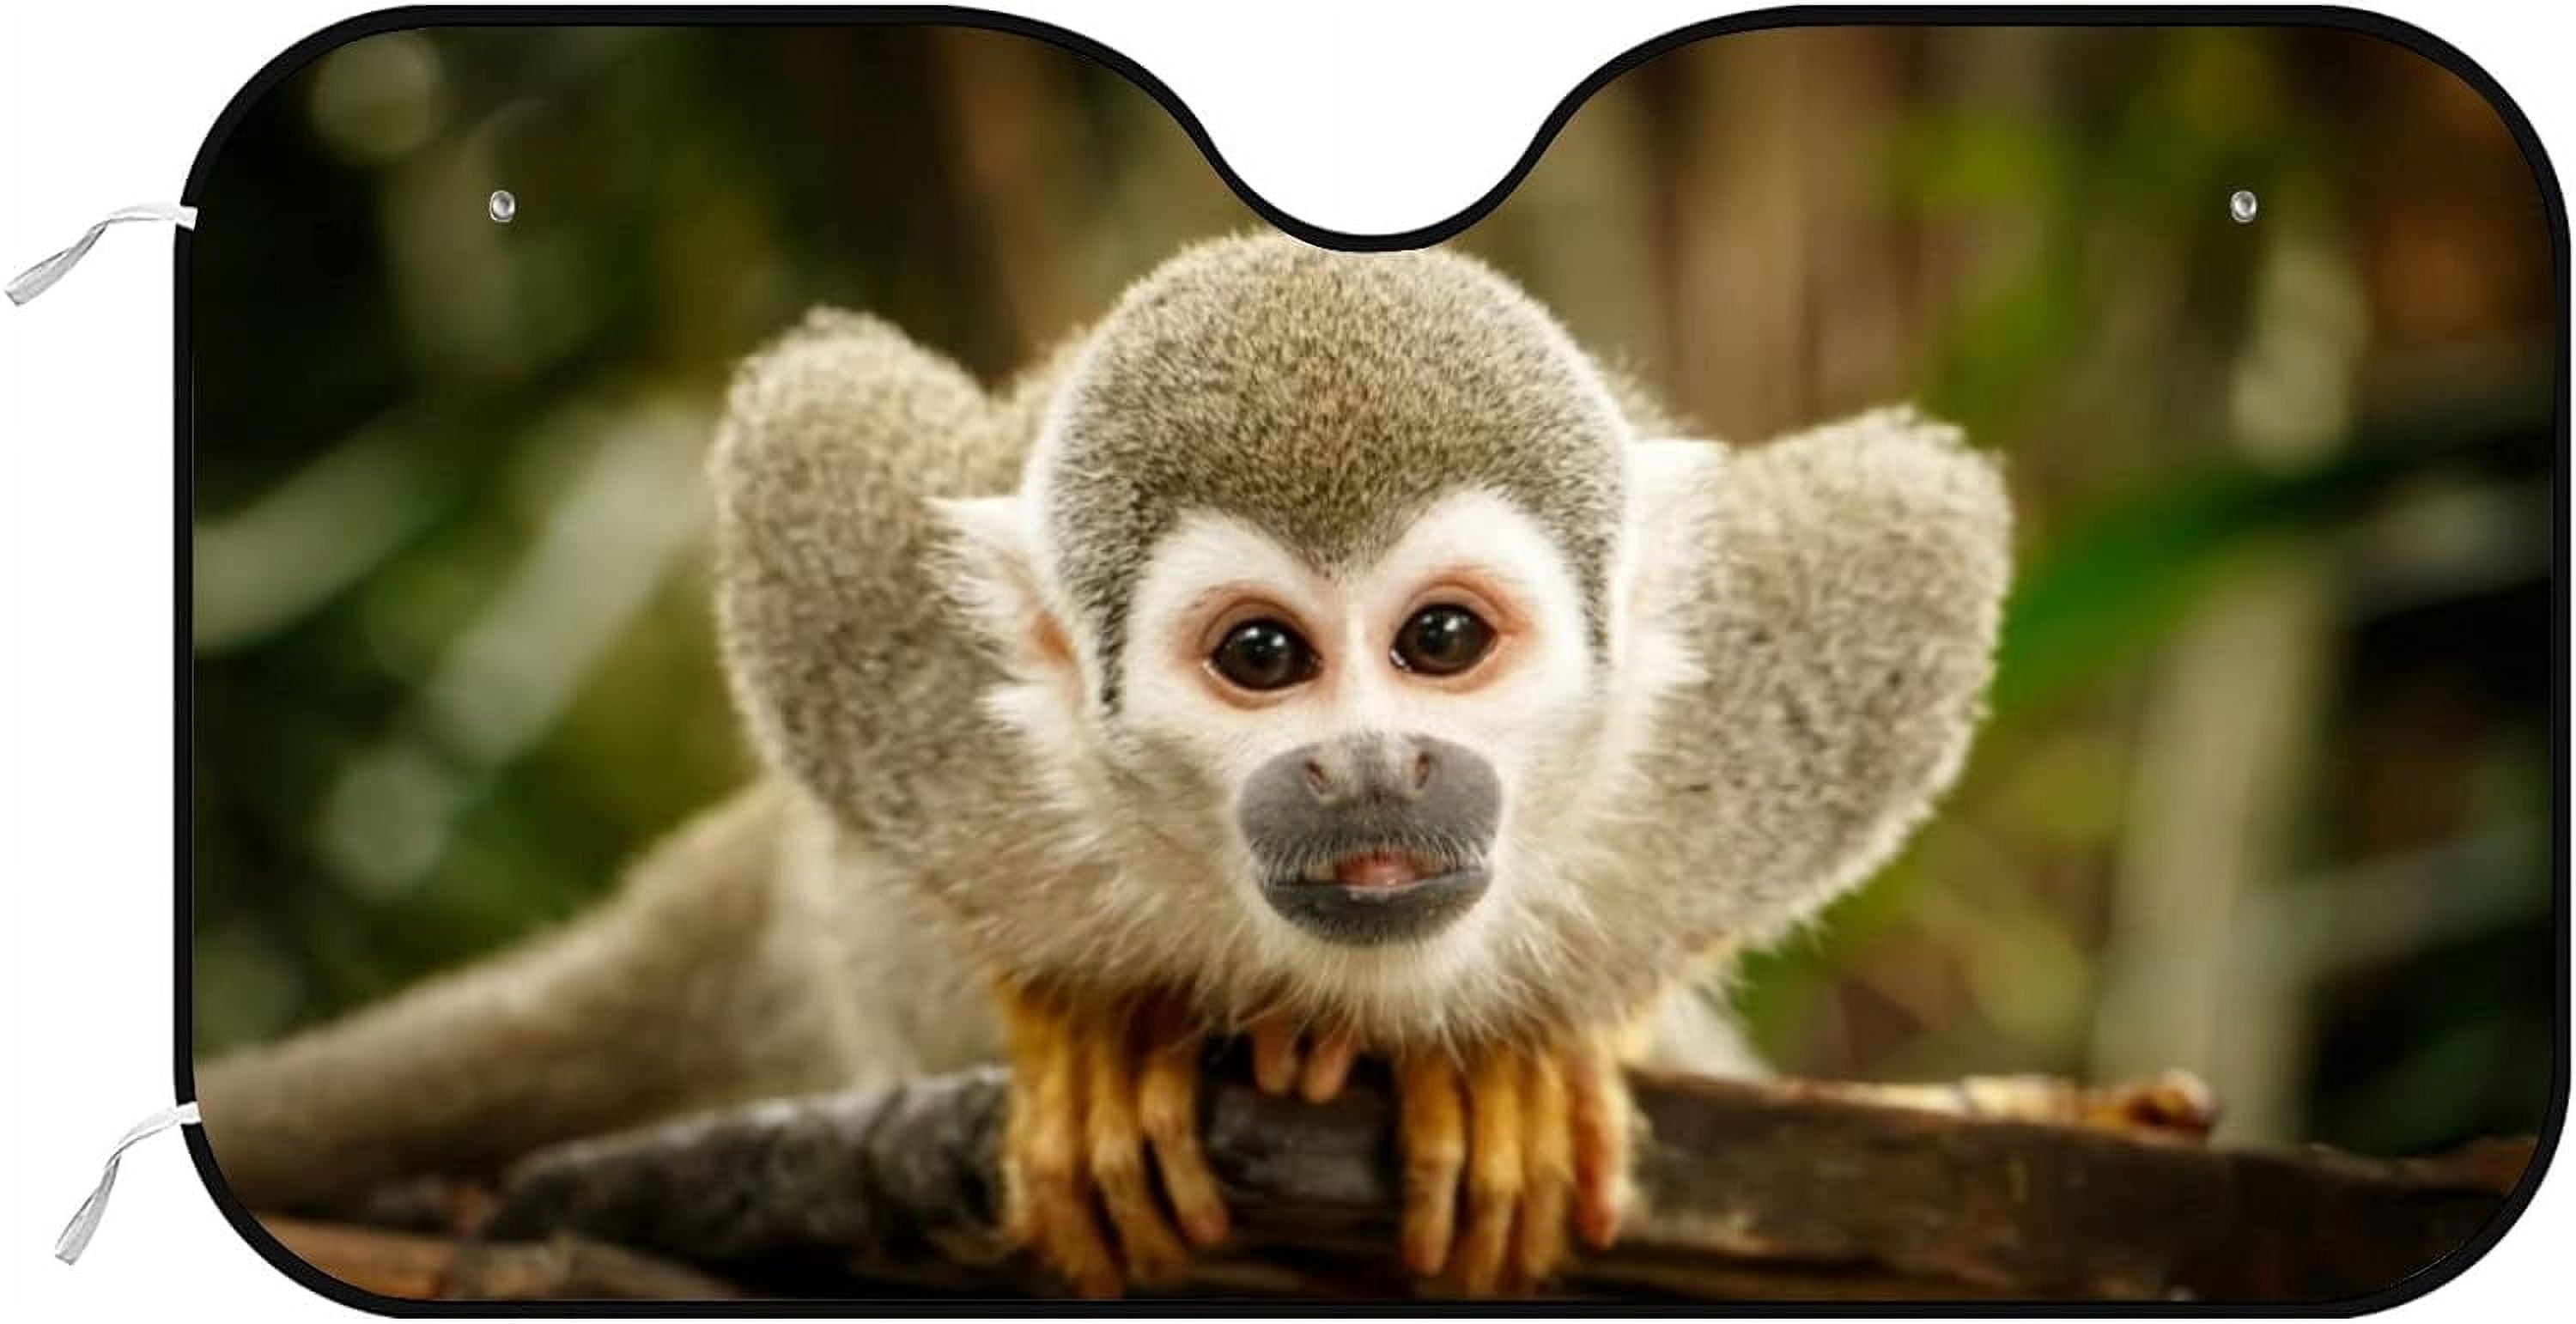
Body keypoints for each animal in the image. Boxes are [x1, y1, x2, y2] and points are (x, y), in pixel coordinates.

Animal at [195, 234, 2010, 1298]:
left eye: (1440, 639)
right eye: (1264, 658)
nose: (1369, 768)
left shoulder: (1750, 712)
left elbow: (1920, 529)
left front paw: (1534, 1049)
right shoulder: (910, 694)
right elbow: (815, 424)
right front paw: (1076, 1023)